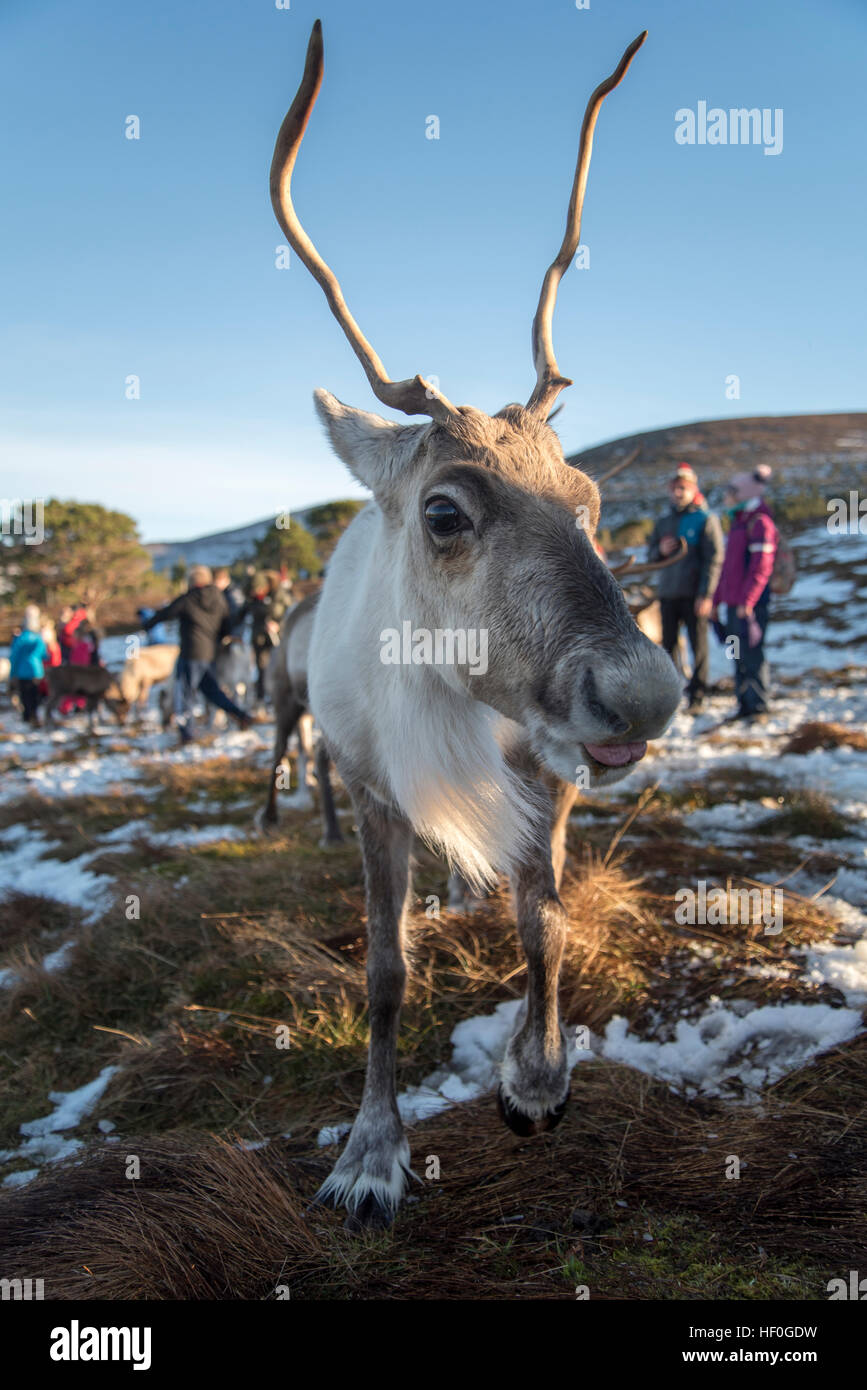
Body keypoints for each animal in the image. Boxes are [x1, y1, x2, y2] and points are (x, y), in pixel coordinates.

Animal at [270, 20, 681, 1228]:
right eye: (445, 510)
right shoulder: (370, 781)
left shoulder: (547, 765)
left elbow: (544, 920)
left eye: (589, 499)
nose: (645, 692)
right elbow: (383, 971)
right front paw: (370, 1151)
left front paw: (534, 1076)